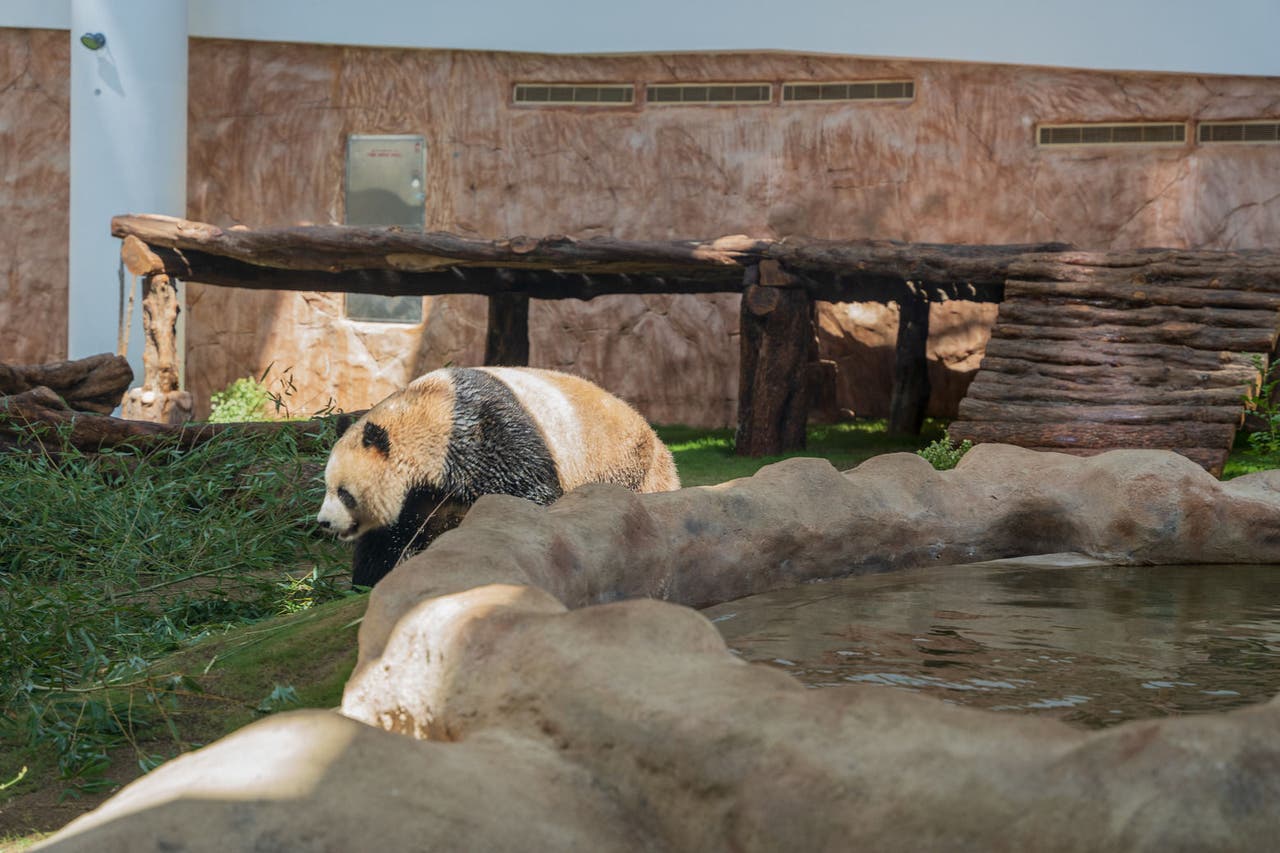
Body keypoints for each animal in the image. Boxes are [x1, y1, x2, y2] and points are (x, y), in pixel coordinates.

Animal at [316, 366, 680, 587]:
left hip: (628, 464)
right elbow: (392, 536)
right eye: (327, 488)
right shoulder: (419, 494)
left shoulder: (483, 434)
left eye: (344, 492)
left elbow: (526, 489)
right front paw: (374, 577)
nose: (324, 522)